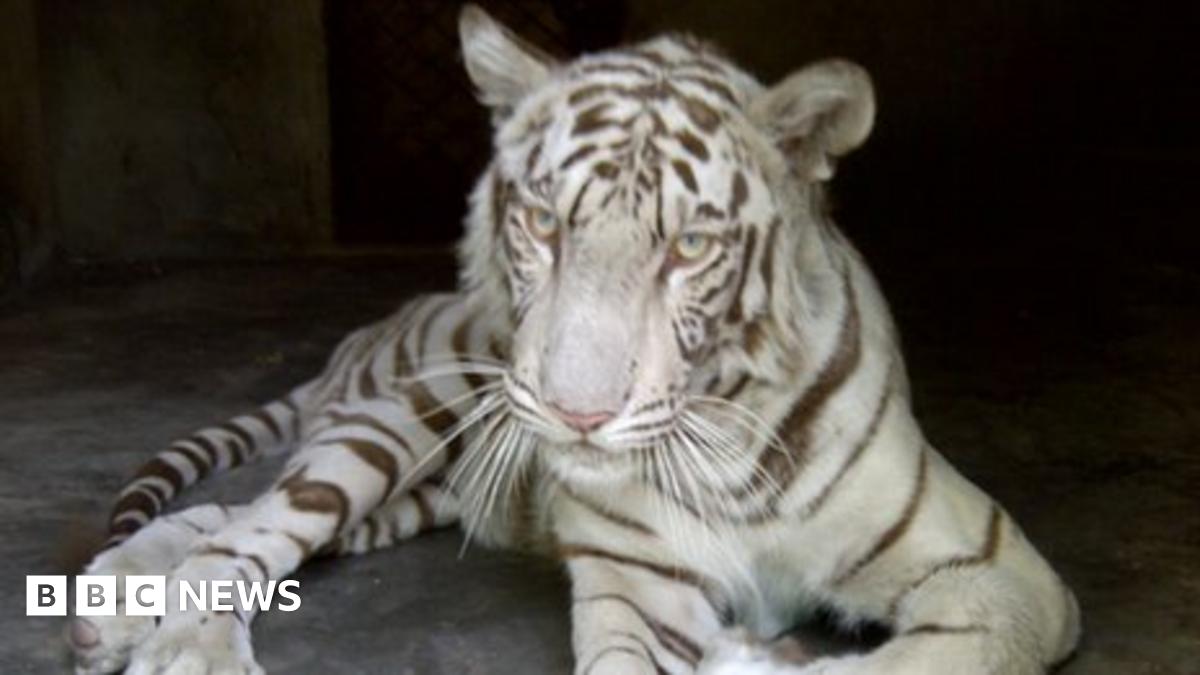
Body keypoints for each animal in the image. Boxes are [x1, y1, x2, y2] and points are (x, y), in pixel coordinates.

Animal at [66, 5, 1081, 674]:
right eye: (545, 223)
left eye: (690, 246)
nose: (576, 415)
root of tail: (362, 334)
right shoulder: (639, 586)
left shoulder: (1001, 576)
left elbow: (926, 661)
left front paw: (756, 657)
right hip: (397, 423)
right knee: (252, 528)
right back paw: (176, 642)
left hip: (428, 496)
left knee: (239, 514)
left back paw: (115, 601)